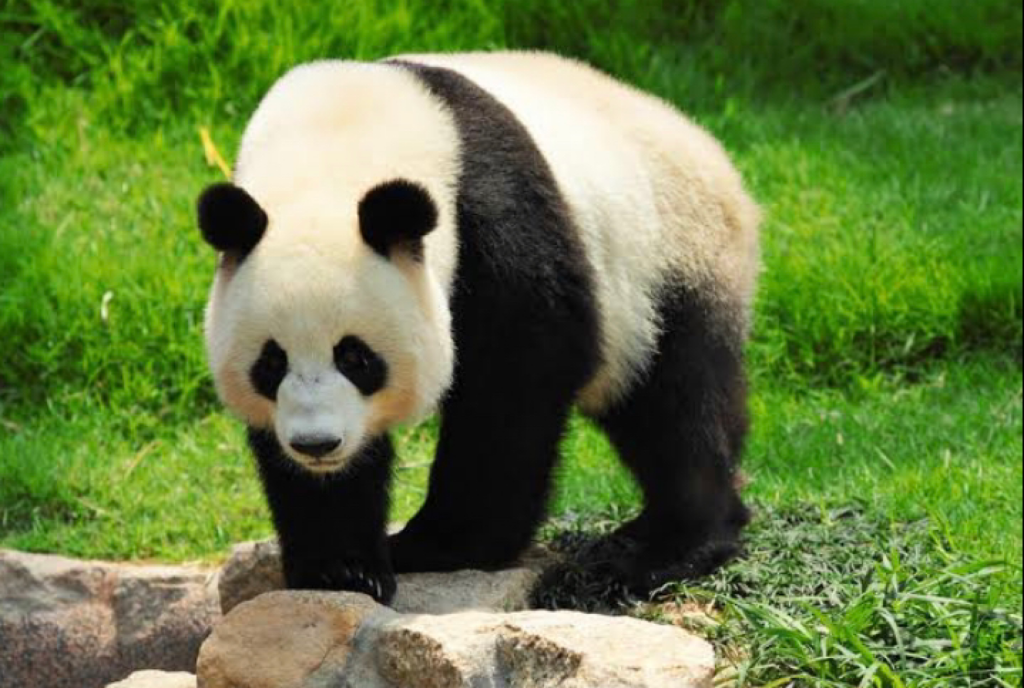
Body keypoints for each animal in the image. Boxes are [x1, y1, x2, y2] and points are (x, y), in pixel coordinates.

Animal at [196, 51, 760, 604]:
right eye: (271, 362)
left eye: (355, 357)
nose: (316, 444)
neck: (335, 141)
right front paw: (342, 568)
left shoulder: (495, 224)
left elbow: (513, 383)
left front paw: (441, 545)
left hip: (669, 262)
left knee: (676, 403)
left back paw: (658, 551)